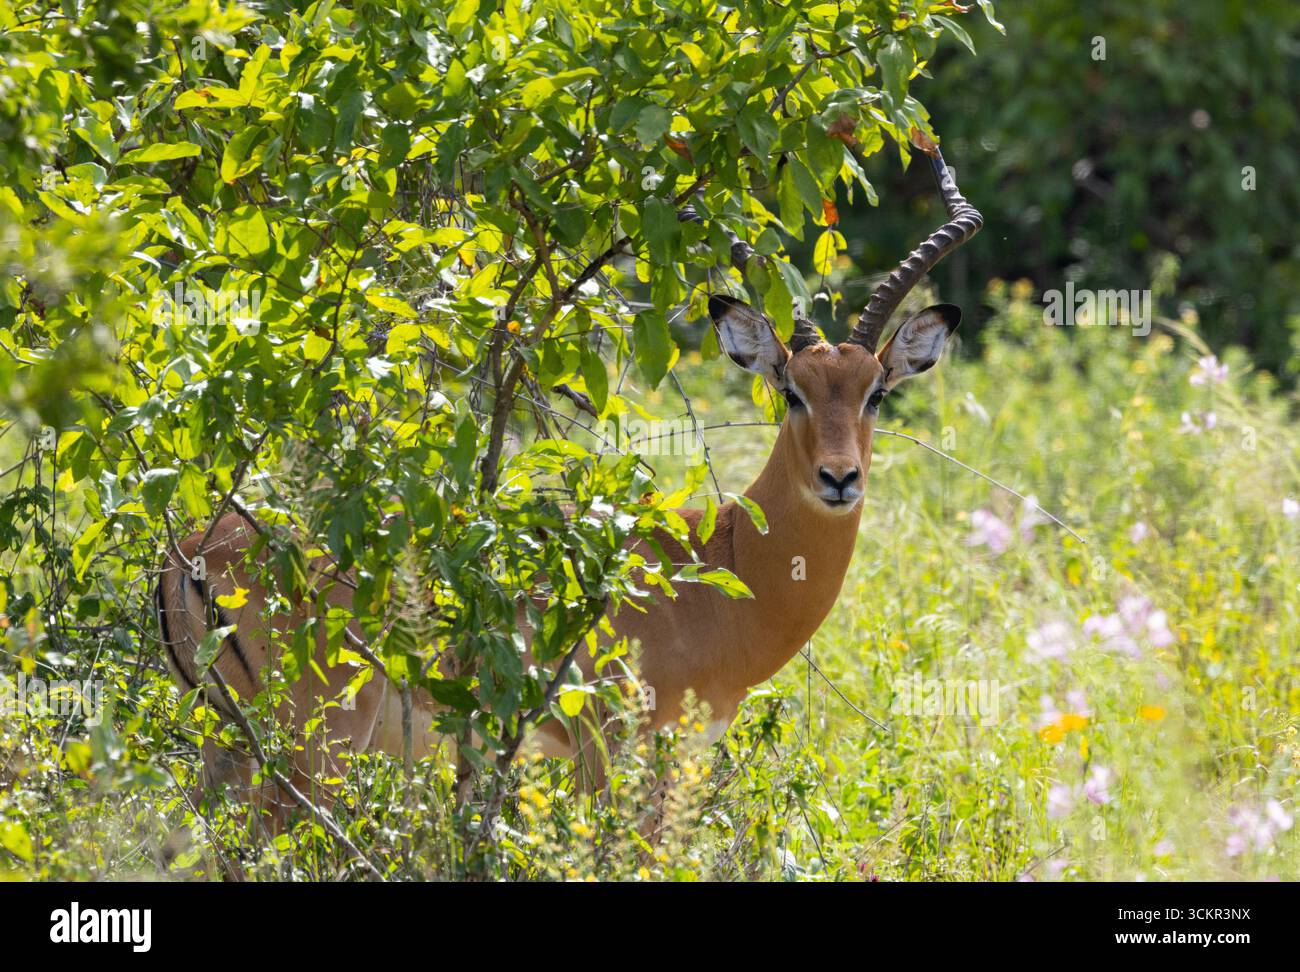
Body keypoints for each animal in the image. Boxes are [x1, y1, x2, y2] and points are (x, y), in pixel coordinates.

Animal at [157, 147, 982, 823]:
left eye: (876, 392)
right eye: (792, 393)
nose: (839, 478)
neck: (723, 567)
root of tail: (190, 552)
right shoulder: (615, 750)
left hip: (231, 743)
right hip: (315, 747)